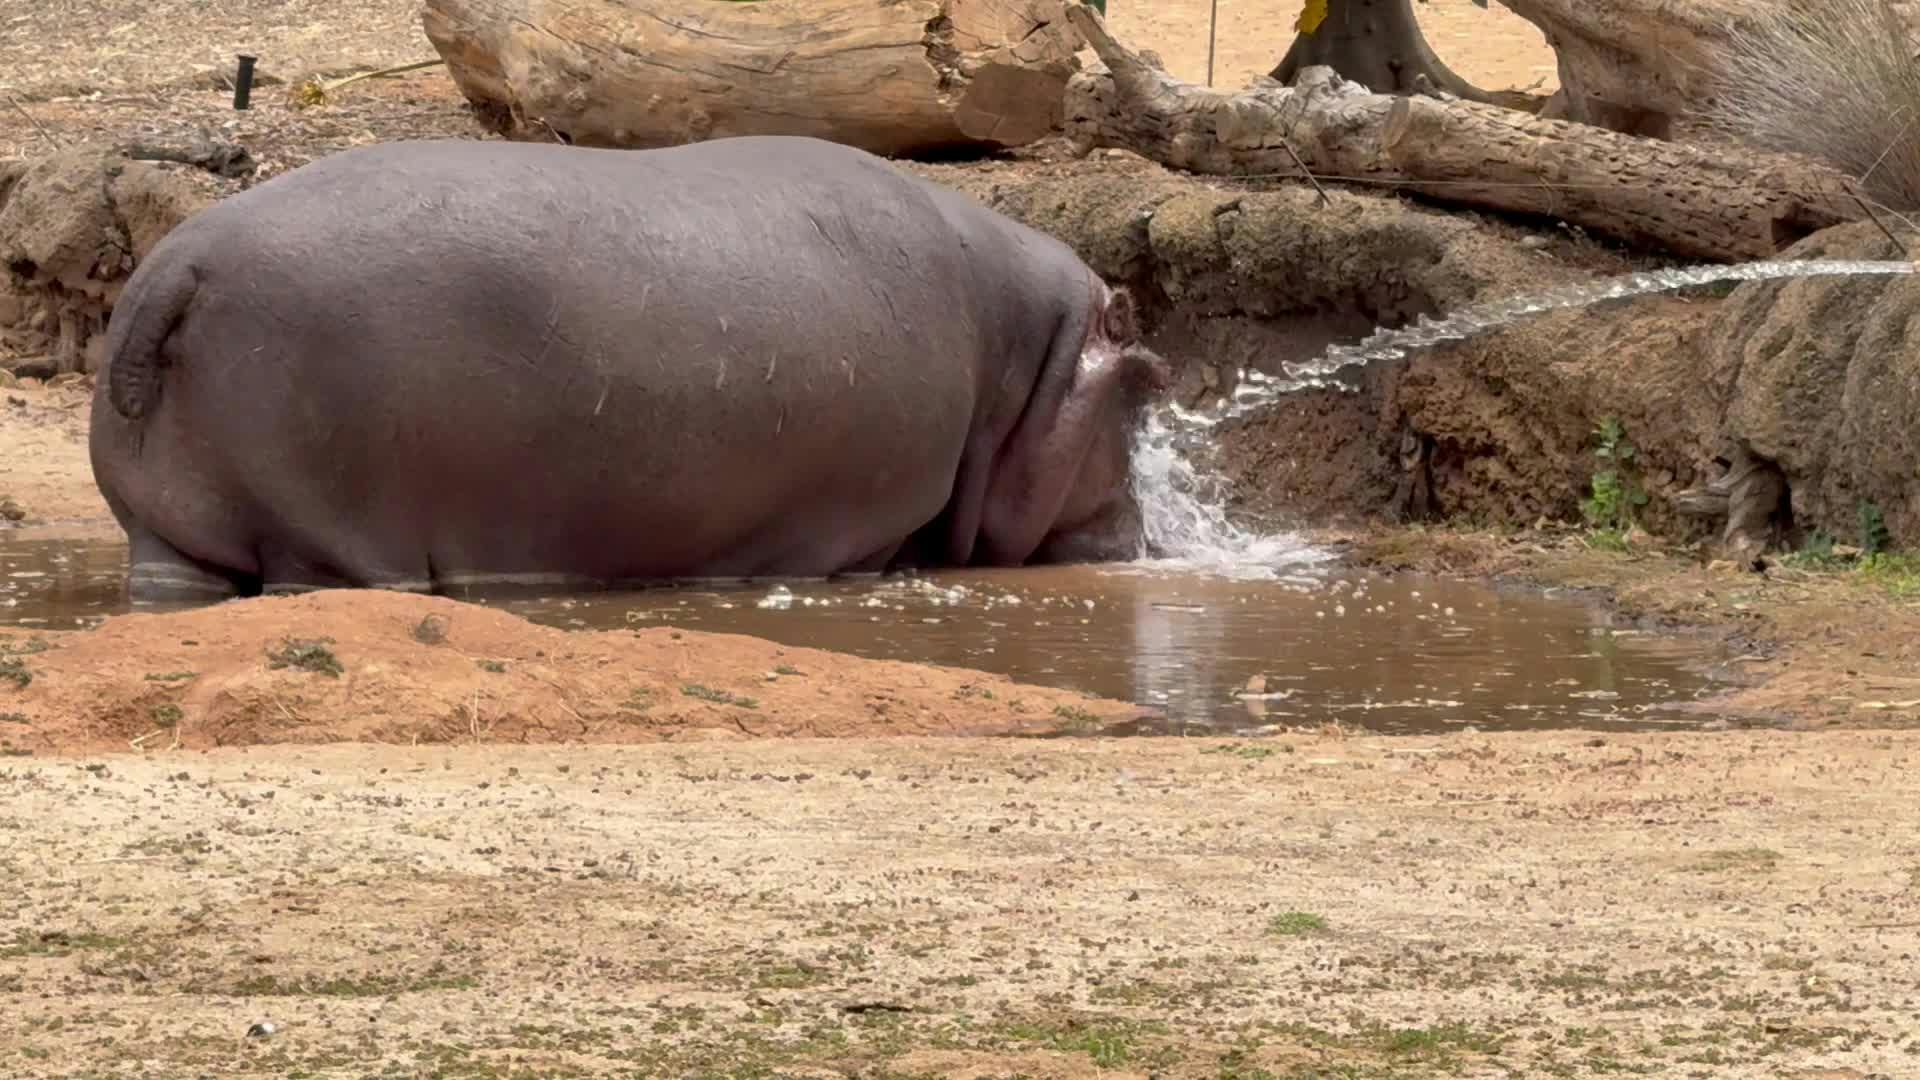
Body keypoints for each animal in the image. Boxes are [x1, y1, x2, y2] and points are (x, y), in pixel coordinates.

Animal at [88, 135, 1171, 602]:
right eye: (1149, 376)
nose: (1142, 537)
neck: (1023, 360)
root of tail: (177, 264)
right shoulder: (854, 525)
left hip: (171, 530)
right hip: (339, 532)